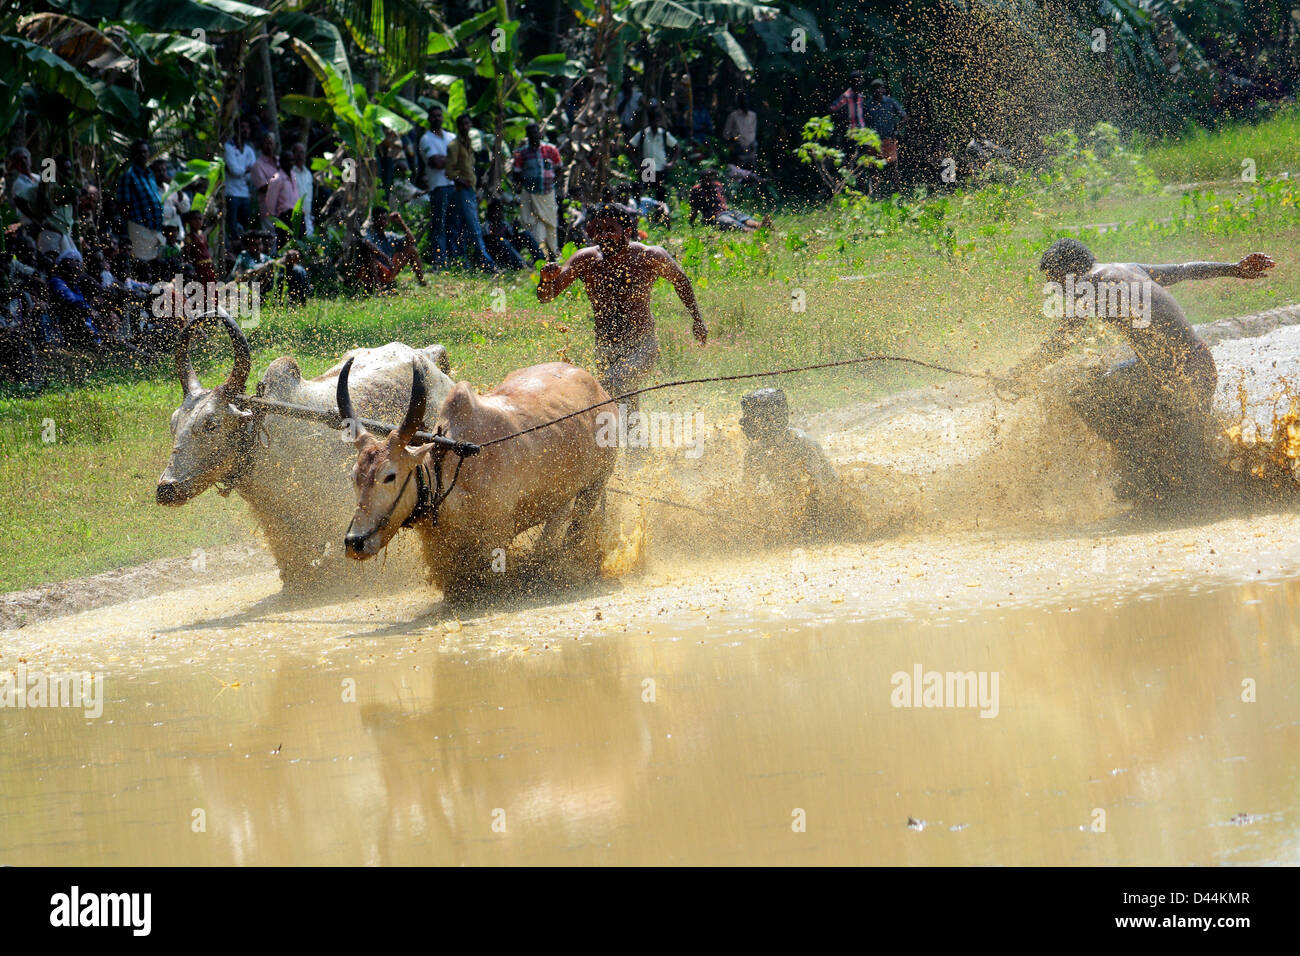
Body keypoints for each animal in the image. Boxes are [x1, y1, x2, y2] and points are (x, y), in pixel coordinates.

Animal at [336, 359, 617, 597]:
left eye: (390, 476)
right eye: (354, 477)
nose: (355, 542)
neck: (447, 471)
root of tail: (598, 389)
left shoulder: (496, 534)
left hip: (596, 483)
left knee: (575, 530)